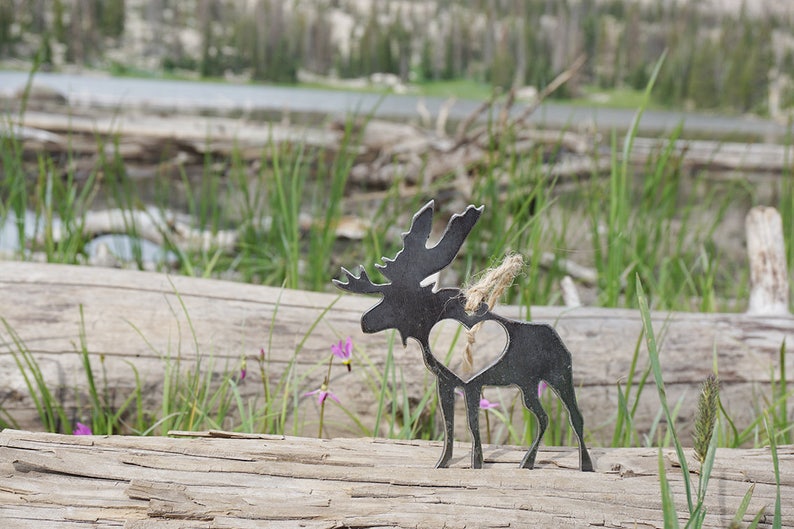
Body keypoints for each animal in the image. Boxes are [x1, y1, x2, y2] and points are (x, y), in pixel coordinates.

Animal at [334, 200, 593, 472]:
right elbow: (449, 426)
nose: (364, 322)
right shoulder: (446, 383)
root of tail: (558, 340)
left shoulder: (471, 384)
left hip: (560, 377)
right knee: (544, 418)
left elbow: (471, 425)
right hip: (528, 385)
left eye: (396, 299)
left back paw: (583, 464)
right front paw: (443, 462)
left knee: (575, 417)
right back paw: (528, 462)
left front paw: (476, 462)